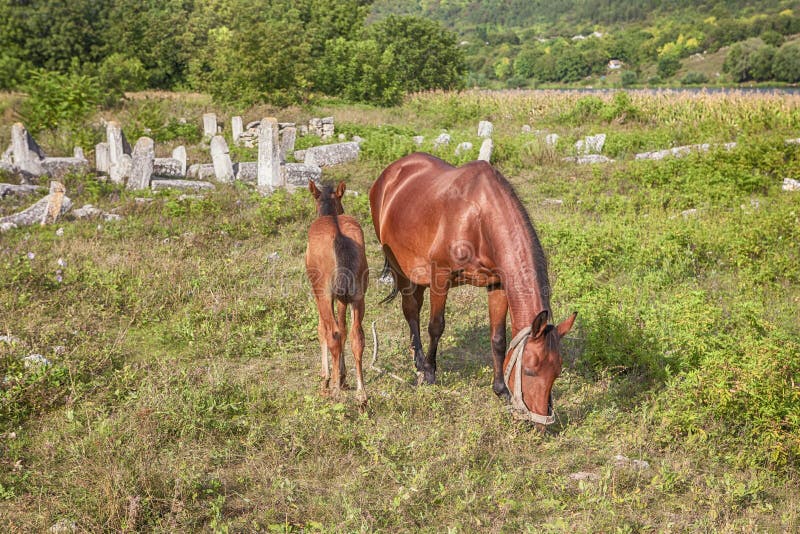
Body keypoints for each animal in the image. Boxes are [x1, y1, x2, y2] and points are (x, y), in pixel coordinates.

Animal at [305, 181, 370, 404]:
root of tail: (339, 237)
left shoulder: (319, 294)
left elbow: (322, 330)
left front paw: (327, 378)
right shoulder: (343, 297)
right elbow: (344, 328)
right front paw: (341, 375)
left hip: (324, 293)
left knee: (332, 333)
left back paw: (334, 389)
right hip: (358, 295)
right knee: (357, 336)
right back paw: (361, 394)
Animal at [369, 152, 576, 424]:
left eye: (557, 371)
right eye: (529, 370)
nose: (540, 423)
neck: (478, 219)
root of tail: (390, 173)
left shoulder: (497, 284)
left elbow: (498, 339)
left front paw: (500, 389)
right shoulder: (440, 277)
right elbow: (436, 326)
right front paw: (430, 373)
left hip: (417, 272)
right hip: (400, 269)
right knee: (411, 310)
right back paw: (419, 364)